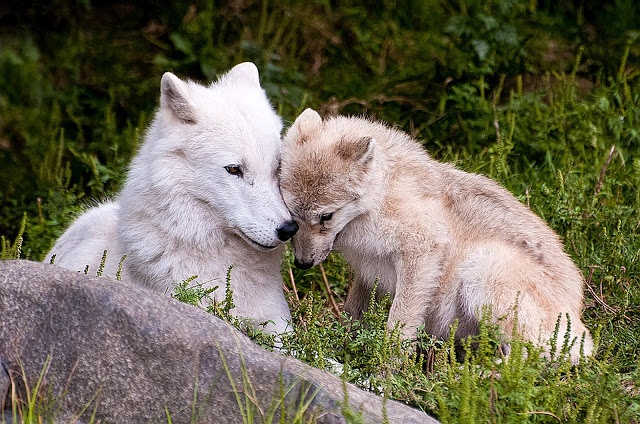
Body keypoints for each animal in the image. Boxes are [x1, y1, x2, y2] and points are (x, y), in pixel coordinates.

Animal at [278, 108, 593, 362]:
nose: (302, 264)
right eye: (293, 216)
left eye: (326, 217)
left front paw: (384, 371)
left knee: (528, 360)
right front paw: (338, 349)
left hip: (483, 268)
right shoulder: (370, 274)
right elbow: (352, 315)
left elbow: (399, 325)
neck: (382, 196)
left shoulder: (421, 250)